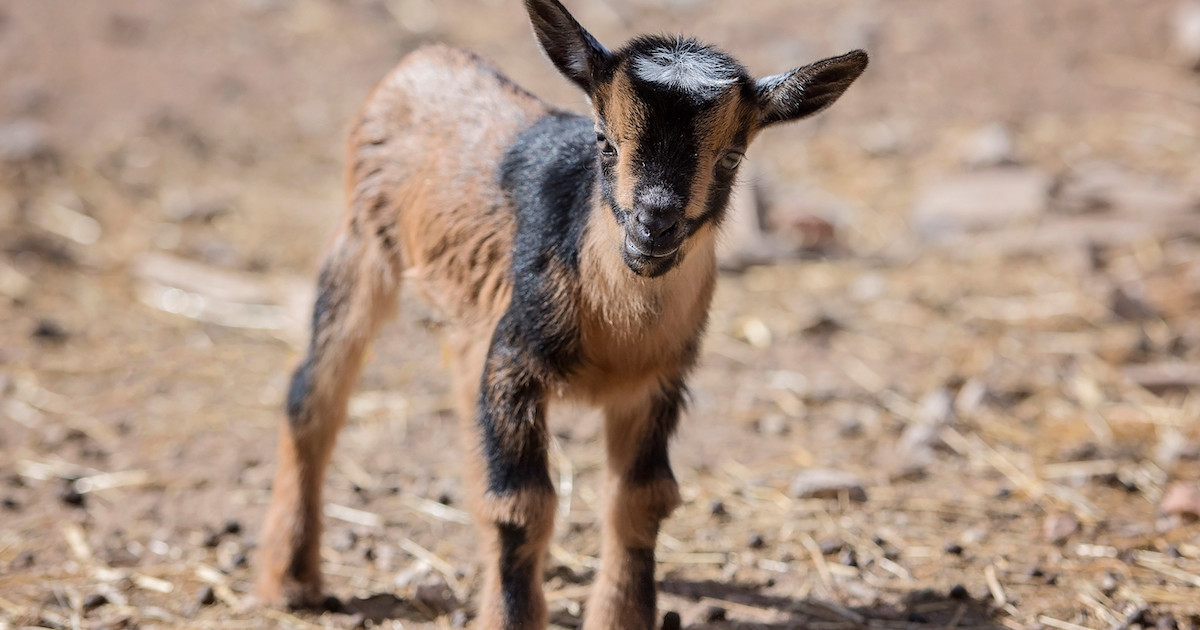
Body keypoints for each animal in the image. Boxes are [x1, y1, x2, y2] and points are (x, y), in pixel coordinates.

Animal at [255, 1, 867, 627]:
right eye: (604, 142)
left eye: (731, 158)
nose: (654, 227)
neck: (618, 328)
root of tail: (422, 60)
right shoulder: (516, 363)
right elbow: (522, 505)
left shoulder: (654, 384)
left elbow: (640, 499)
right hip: (362, 241)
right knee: (314, 395)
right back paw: (292, 581)